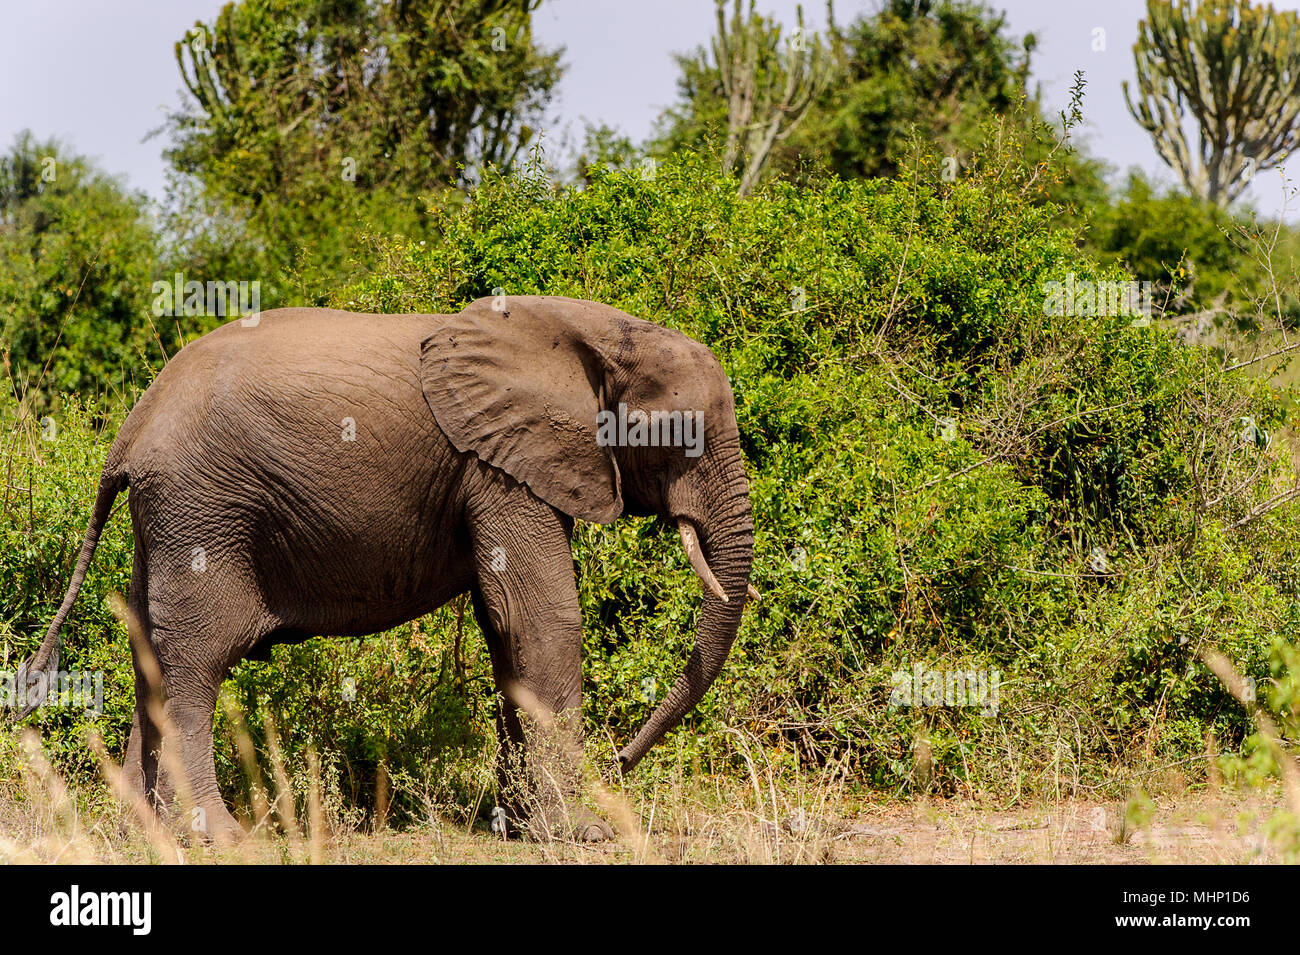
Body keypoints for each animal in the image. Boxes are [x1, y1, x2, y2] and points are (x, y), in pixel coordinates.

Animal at [13, 295, 756, 842]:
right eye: (680, 436)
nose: (620, 762)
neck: (593, 331)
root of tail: (130, 431)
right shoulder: (496, 467)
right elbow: (543, 616)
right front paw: (580, 833)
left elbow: (505, 626)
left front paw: (521, 828)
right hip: (202, 508)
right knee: (196, 660)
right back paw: (215, 838)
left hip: (168, 517)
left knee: (149, 651)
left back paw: (139, 834)